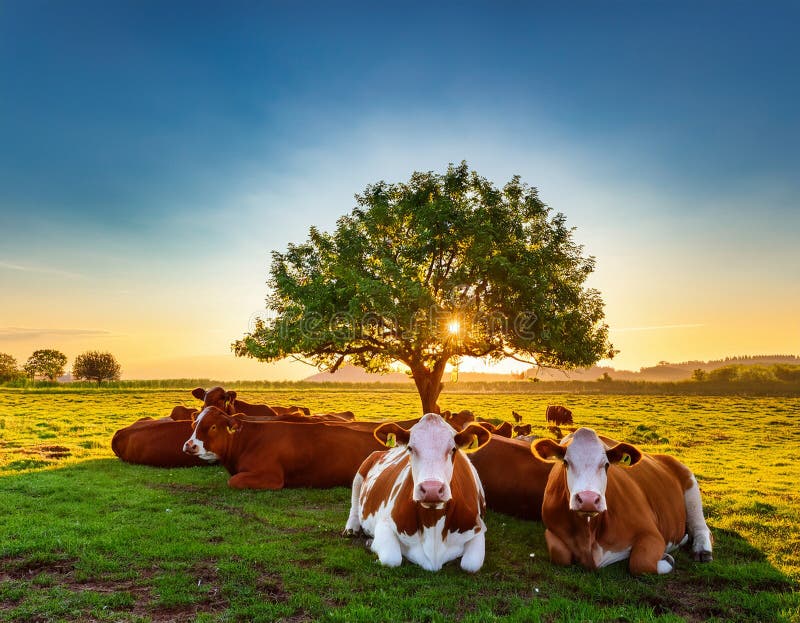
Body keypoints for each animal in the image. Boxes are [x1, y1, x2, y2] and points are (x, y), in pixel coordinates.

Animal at [343, 413, 491, 572]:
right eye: (410, 448)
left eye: (453, 449)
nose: (432, 490)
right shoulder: (385, 522)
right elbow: (391, 559)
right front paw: (371, 543)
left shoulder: (479, 528)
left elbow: (470, 564)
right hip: (362, 469)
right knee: (354, 502)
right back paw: (351, 528)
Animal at [531, 427, 713, 575]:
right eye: (566, 462)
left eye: (606, 465)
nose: (588, 500)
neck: (589, 534)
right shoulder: (552, 530)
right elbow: (560, 555)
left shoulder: (651, 532)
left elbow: (640, 562)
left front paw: (667, 559)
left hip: (689, 482)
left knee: (700, 526)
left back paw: (703, 551)